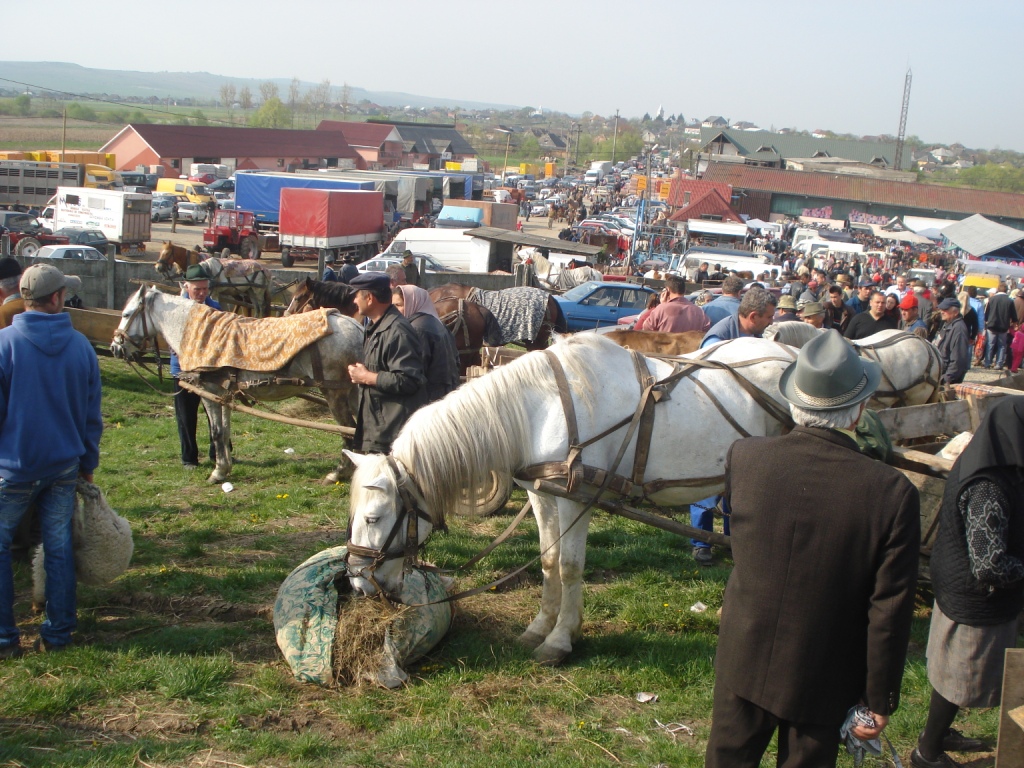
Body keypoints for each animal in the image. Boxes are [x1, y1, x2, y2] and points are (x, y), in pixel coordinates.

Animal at [108, 286, 362, 483]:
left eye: (127, 314)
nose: (115, 347)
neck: (199, 334)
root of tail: (356, 327)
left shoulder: (209, 392)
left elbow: (216, 431)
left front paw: (217, 472)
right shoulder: (224, 395)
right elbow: (224, 430)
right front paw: (224, 467)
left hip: (334, 392)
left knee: (348, 431)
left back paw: (338, 473)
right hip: (352, 391)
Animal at [339, 335, 794, 667]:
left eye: (374, 517)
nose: (358, 583)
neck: (541, 407)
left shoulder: (577, 500)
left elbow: (571, 566)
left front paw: (560, 641)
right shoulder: (542, 494)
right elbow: (548, 560)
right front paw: (541, 627)